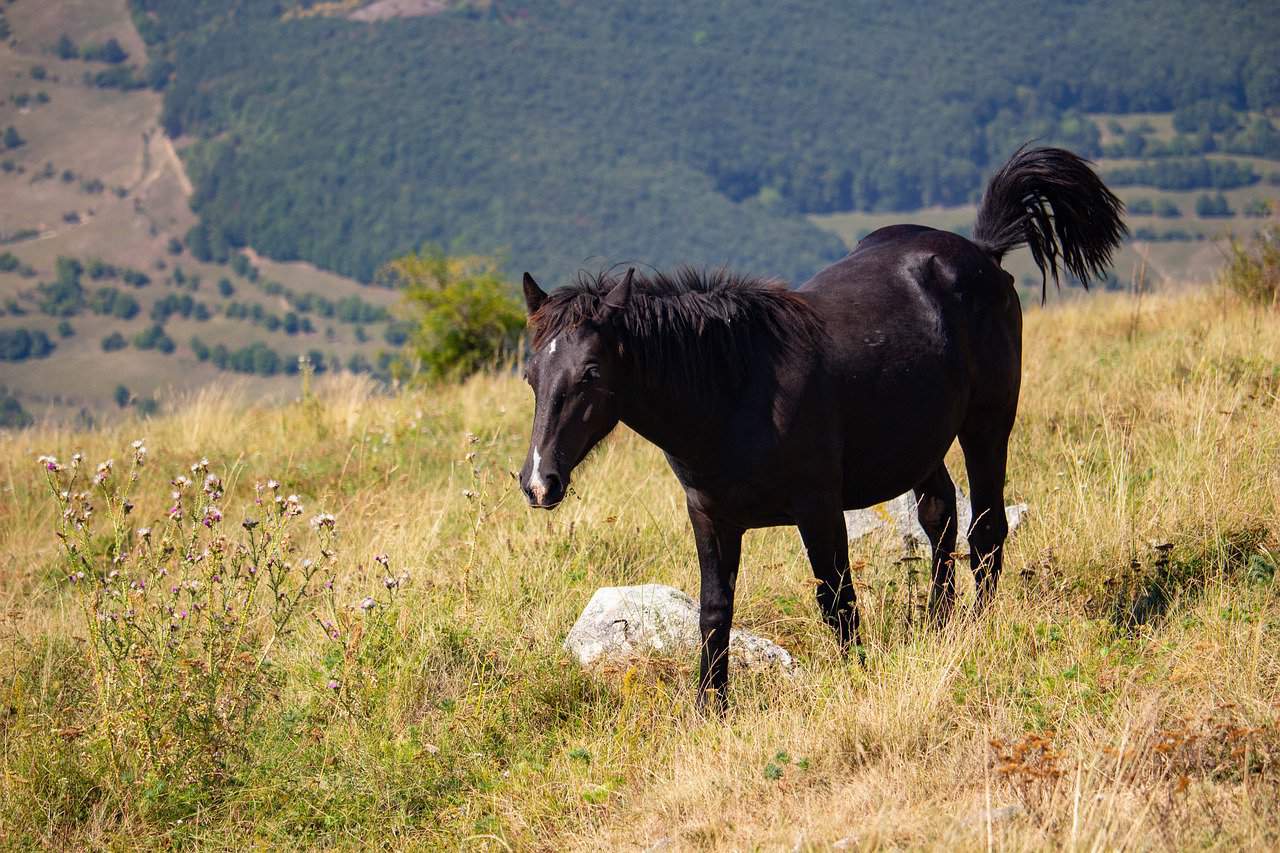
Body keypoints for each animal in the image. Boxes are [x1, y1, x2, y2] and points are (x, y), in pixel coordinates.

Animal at [518, 146, 1126, 708]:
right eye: (531, 372)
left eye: (592, 373)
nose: (539, 483)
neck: (736, 392)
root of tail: (982, 253)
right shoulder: (711, 517)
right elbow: (714, 612)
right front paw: (710, 708)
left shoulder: (819, 508)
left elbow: (837, 601)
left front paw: (856, 678)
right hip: (920, 443)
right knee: (940, 518)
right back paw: (938, 629)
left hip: (988, 424)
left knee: (986, 530)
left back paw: (975, 629)